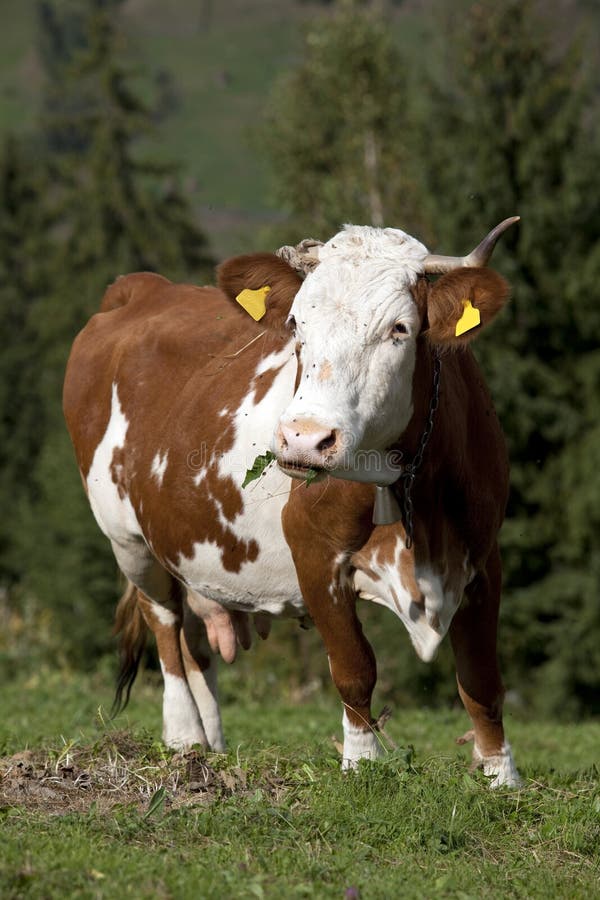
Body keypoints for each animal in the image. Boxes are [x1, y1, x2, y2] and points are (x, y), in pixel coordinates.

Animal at [63, 217, 521, 788]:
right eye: (296, 324)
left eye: (399, 329)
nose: (304, 438)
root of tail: (142, 288)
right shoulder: (315, 554)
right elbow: (354, 667)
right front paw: (361, 766)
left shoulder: (483, 555)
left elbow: (482, 680)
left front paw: (502, 778)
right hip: (127, 537)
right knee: (165, 624)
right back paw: (183, 734)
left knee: (195, 640)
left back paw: (209, 747)